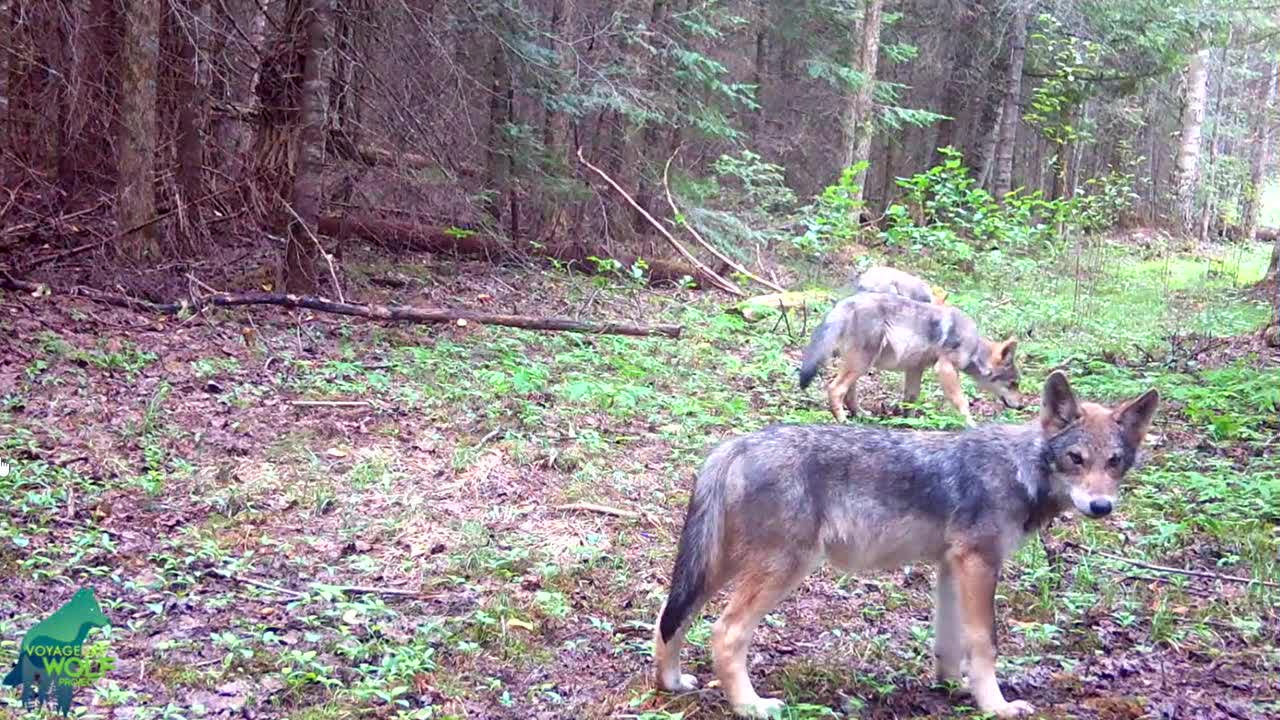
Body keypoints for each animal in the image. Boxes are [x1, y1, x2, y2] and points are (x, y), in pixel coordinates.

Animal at [652, 371, 1161, 718]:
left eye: (1115, 462)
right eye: (1076, 459)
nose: (1101, 506)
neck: (1020, 469)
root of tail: (735, 445)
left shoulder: (952, 567)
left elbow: (951, 643)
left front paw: (953, 689)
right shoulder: (980, 563)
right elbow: (986, 643)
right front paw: (996, 706)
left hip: (719, 569)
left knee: (668, 618)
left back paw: (671, 683)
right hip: (782, 570)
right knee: (725, 633)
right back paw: (751, 706)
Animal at [798, 291, 1021, 426]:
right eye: (1013, 384)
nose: (1022, 406)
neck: (973, 346)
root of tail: (847, 301)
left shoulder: (915, 369)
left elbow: (911, 400)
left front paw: (909, 423)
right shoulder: (945, 369)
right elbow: (962, 401)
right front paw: (971, 425)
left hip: (858, 364)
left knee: (848, 393)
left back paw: (860, 415)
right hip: (862, 363)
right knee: (835, 389)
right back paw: (844, 421)